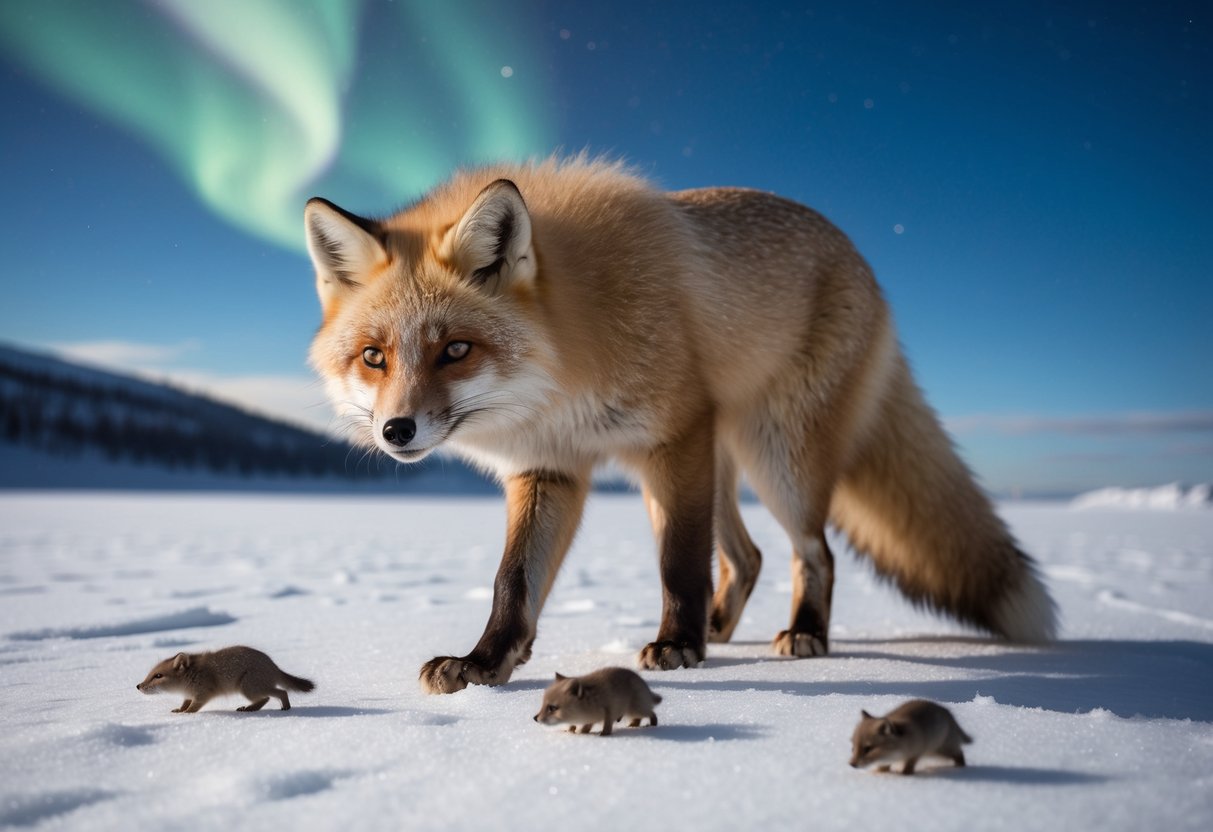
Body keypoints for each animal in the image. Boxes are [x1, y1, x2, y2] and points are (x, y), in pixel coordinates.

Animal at [304, 155, 1056, 695]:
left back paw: (800, 633)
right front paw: (485, 664)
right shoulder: (550, 467)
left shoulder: (674, 433)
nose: (396, 431)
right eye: (374, 357)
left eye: (456, 350)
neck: (561, 377)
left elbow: (678, 562)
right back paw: (722, 627)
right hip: (710, 467)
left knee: (813, 552)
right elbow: (512, 582)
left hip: (772, 457)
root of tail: (863, 263)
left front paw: (676, 646)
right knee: (749, 556)